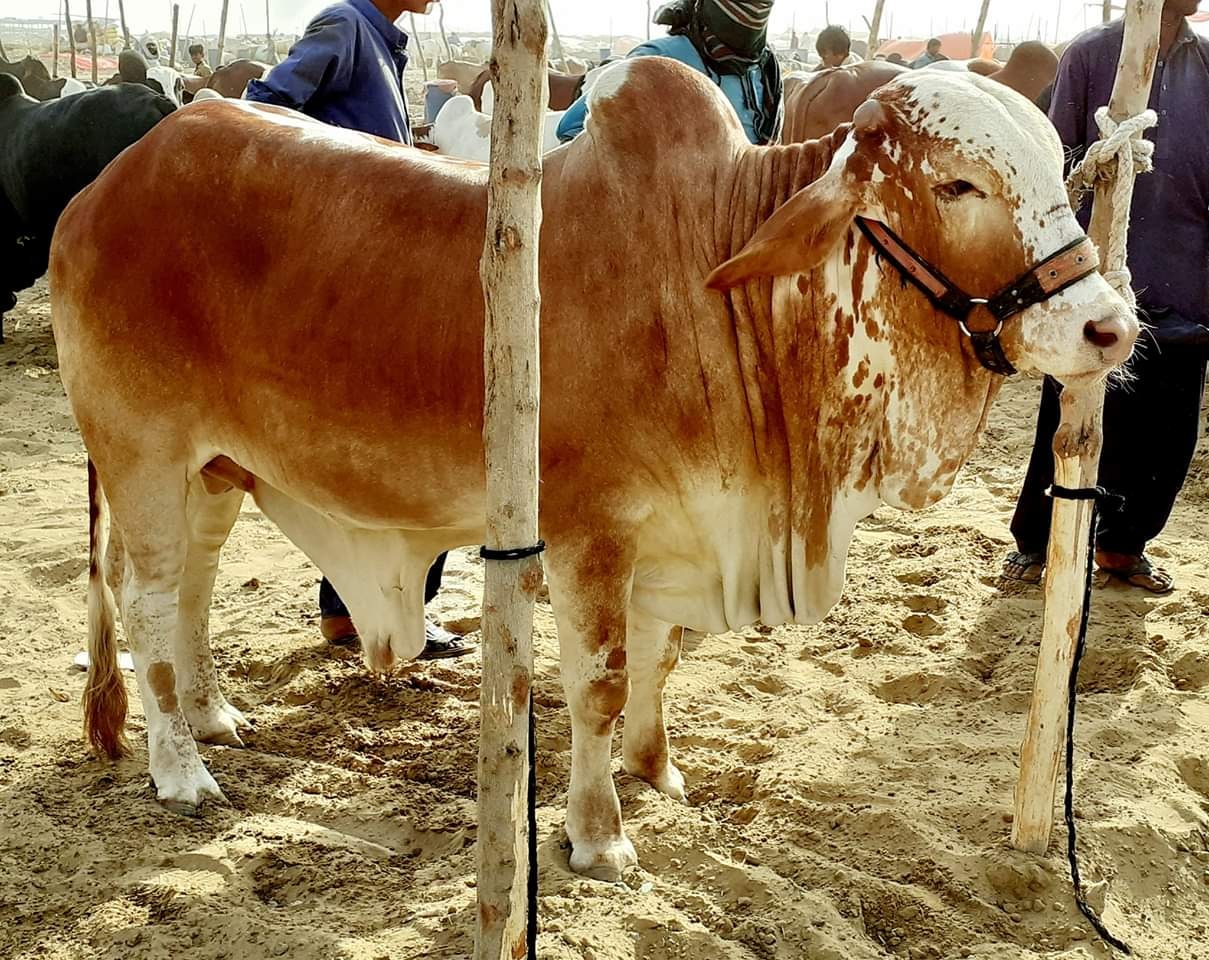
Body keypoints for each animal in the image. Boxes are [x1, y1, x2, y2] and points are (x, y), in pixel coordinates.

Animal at [51, 59, 1136, 882]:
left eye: (1057, 167)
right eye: (958, 185)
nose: (1109, 326)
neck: (718, 282)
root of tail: (101, 189)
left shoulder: (677, 529)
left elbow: (662, 660)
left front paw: (657, 770)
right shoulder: (590, 537)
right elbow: (601, 685)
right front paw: (599, 835)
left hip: (212, 473)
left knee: (191, 593)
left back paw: (213, 714)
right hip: (143, 457)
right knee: (147, 602)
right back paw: (180, 768)